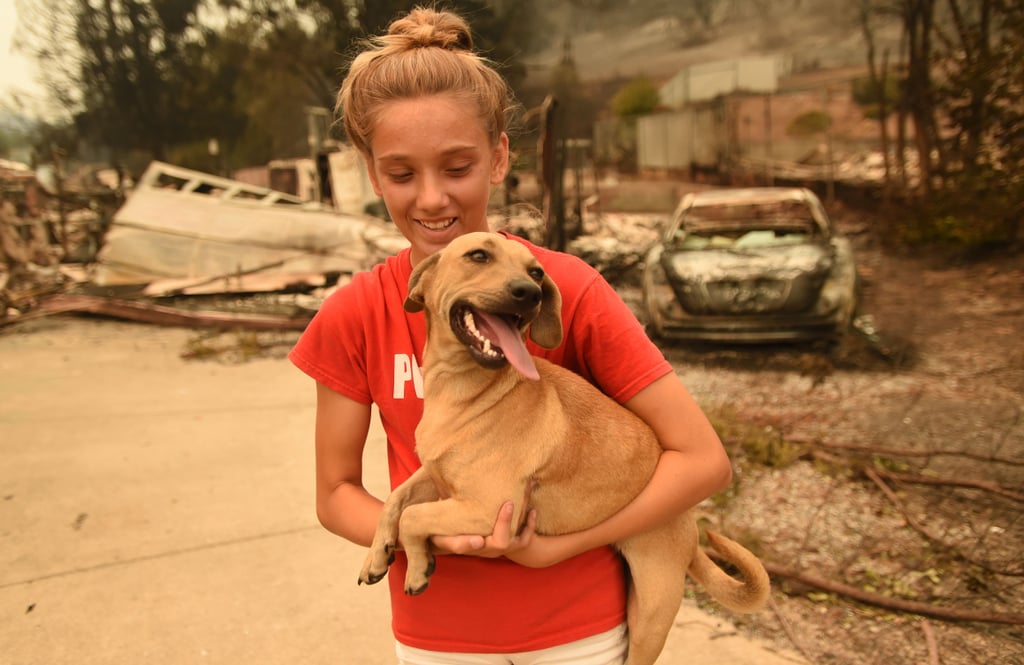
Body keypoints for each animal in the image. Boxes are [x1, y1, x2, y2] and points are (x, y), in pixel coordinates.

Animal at [360, 230, 770, 659]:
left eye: (537, 272)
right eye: (478, 255)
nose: (529, 293)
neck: (466, 389)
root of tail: (691, 534)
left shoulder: (487, 508)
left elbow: (413, 516)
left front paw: (418, 566)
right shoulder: (436, 476)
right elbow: (396, 501)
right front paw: (377, 555)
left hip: (650, 618)